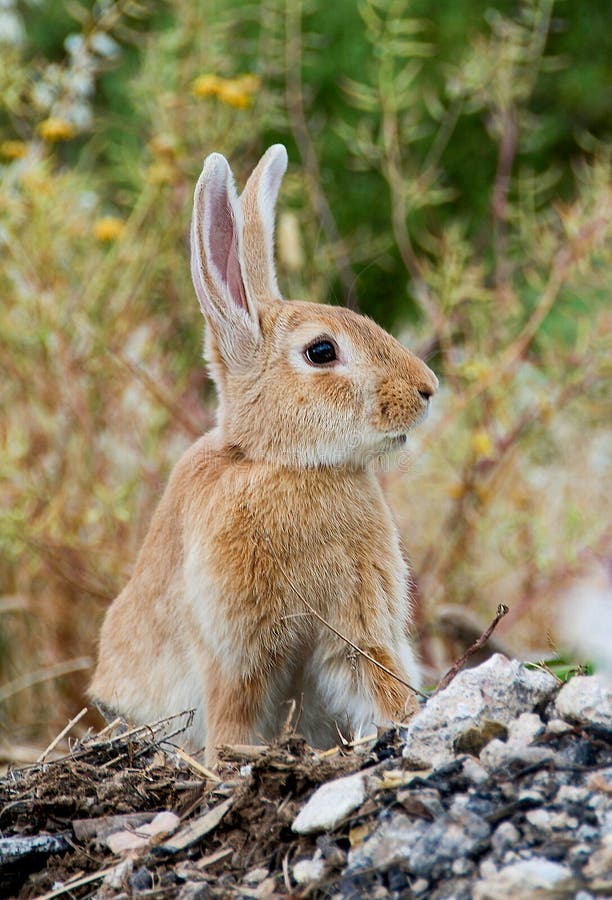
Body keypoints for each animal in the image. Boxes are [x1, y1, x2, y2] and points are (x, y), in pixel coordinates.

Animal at [89, 144, 438, 763]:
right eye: (321, 352)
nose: (427, 389)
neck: (284, 464)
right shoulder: (236, 650)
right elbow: (235, 713)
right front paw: (228, 764)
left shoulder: (358, 630)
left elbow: (377, 681)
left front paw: (405, 722)